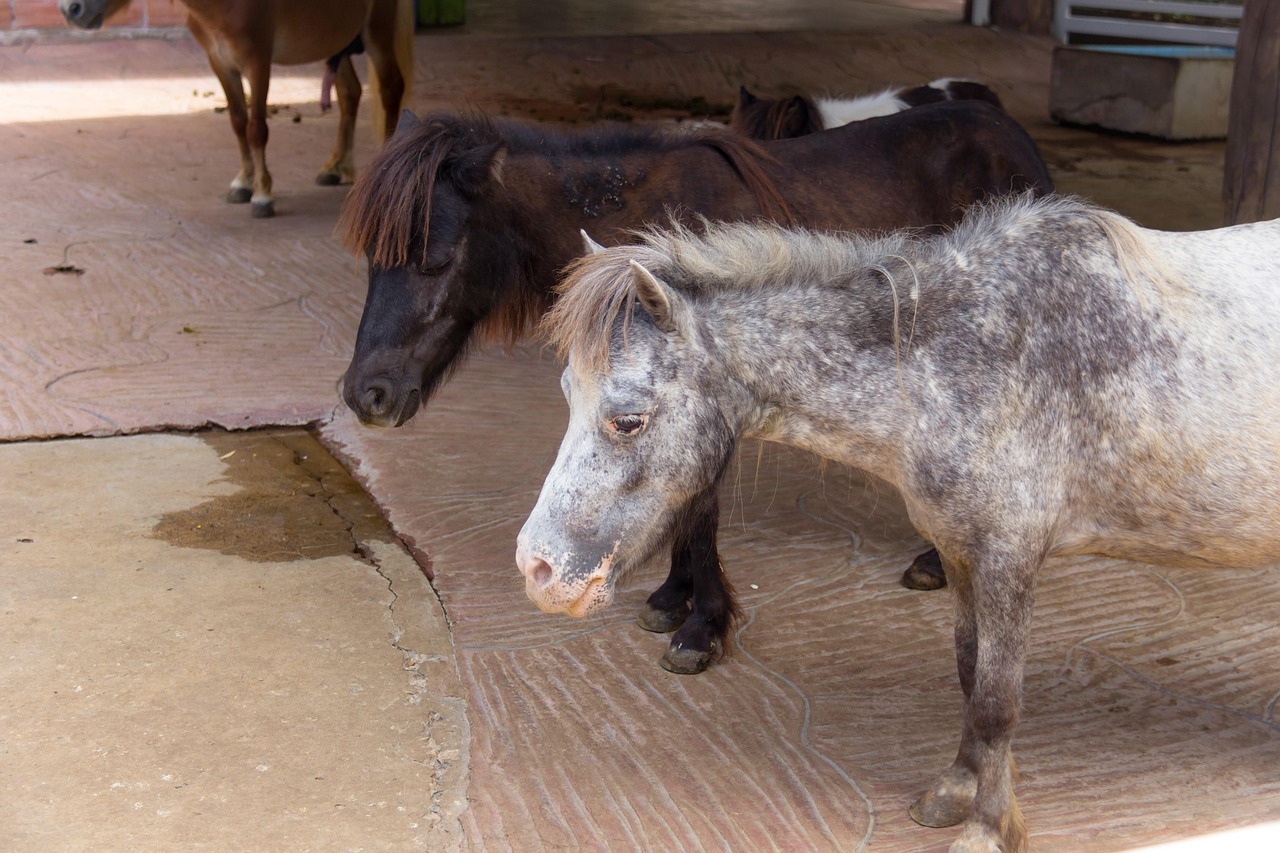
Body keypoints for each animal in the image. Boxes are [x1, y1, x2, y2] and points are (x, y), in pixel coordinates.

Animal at [59, 0, 414, 218]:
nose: (70, 9)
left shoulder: (257, 62)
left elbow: (256, 128)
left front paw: (262, 195)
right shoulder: (220, 62)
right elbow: (237, 121)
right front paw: (243, 183)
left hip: (377, 29)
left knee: (390, 88)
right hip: (336, 39)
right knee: (351, 93)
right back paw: (335, 168)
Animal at [337, 100, 1053, 674]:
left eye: (435, 260)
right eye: (372, 257)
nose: (365, 395)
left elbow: (699, 510)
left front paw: (700, 630)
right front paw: (672, 597)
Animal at [518, 194, 1280, 851]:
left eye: (628, 419)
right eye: (565, 392)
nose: (537, 567)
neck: (964, 353)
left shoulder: (1008, 560)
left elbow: (999, 698)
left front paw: (987, 830)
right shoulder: (962, 554)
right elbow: (971, 674)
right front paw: (954, 792)